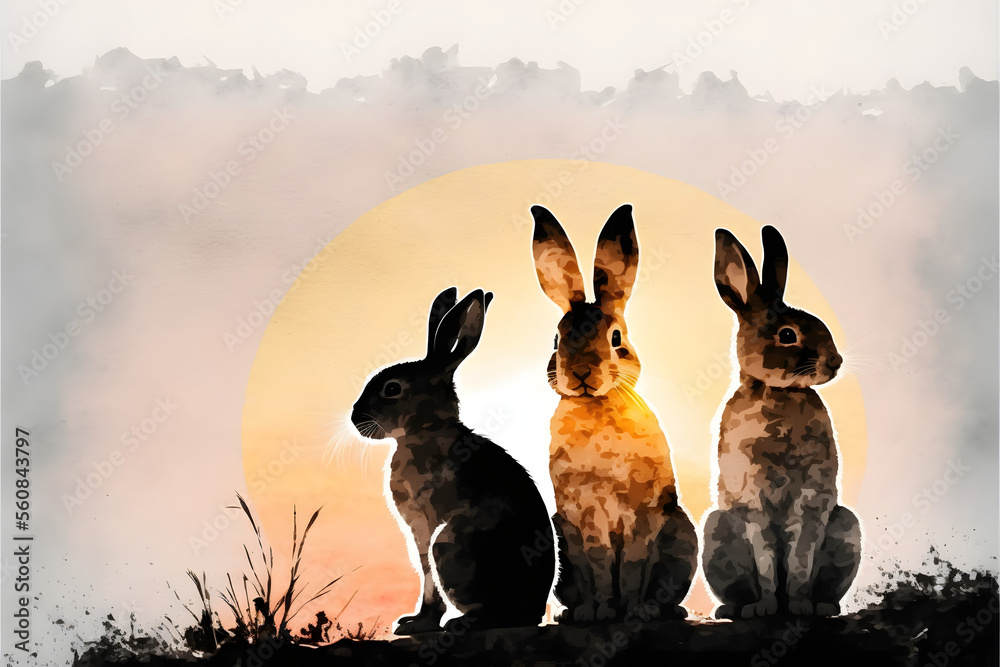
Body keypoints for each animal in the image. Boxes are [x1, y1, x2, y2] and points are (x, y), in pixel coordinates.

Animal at [351, 287, 556, 634]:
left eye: (392, 388)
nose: (355, 418)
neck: (424, 433)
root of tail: (533, 612)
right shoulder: (417, 535)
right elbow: (425, 578)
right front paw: (413, 622)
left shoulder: (426, 527)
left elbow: (429, 581)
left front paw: (417, 625)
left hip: (450, 544)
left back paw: (460, 623)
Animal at [530, 203, 697, 623]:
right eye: (556, 340)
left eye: (616, 338)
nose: (581, 373)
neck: (597, 404)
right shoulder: (585, 516)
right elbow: (601, 566)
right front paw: (601, 613)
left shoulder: (641, 515)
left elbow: (633, 567)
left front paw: (633, 612)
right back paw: (573, 614)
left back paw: (664, 611)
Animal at [702, 225, 862, 619]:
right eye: (787, 335)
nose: (835, 362)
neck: (778, 392)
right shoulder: (752, 503)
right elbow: (765, 560)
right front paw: (766, 607)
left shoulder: (810, 503)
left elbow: (800, 559)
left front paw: (800, 605)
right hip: (715, 532)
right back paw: (736, 610)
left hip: (847, 527)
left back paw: (822, 606)